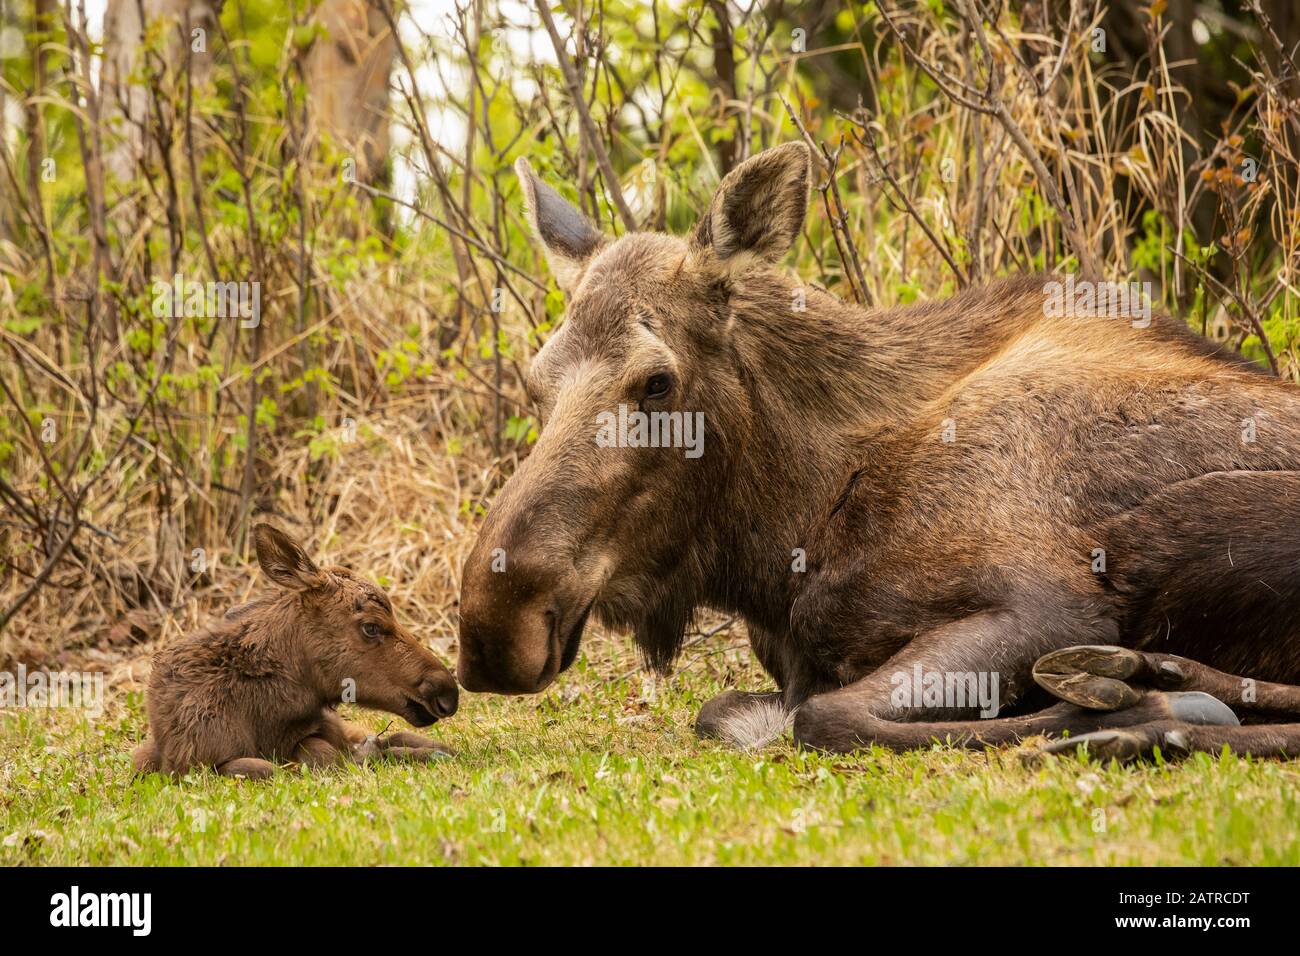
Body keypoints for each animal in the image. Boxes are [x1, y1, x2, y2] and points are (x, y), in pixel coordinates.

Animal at [456, 142, 1300, 763]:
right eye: (536, 379)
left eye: (657, 381)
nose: (495, 626)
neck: (783, 535)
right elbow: (730, 710)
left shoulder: (1049, 602)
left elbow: (827, 718)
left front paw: (1127, 709)